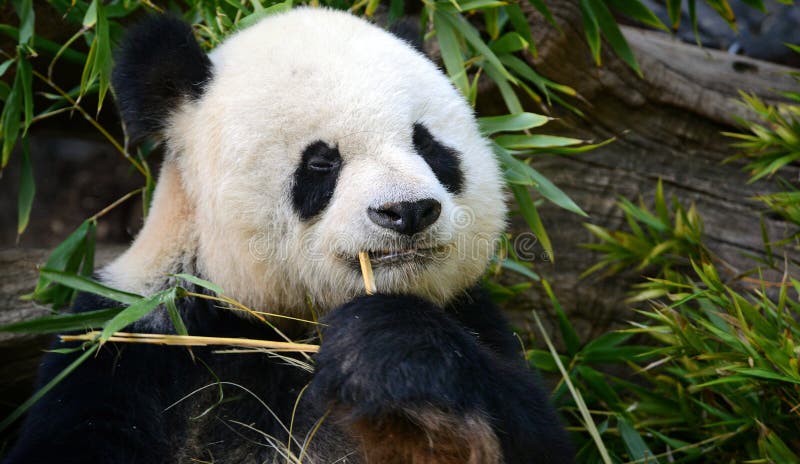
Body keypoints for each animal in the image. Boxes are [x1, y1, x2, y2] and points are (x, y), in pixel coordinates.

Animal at [4, 7, 573, 464]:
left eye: (430, 147)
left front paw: (387, 347)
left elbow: (534, 429)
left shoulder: (472, 316)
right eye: (321, 162)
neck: (290, 324)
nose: (408, 212)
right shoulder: (131, 343)